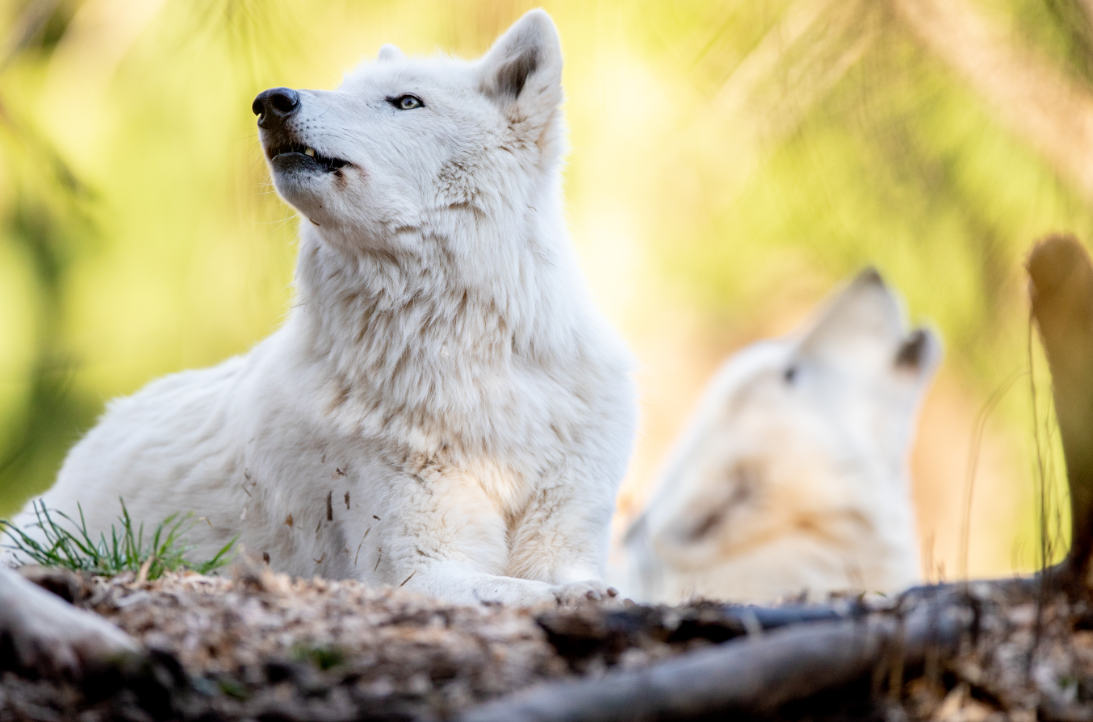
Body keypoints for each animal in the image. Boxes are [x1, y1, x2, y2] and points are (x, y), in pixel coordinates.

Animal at [5, 10, 637, 606]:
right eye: (342, 88)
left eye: (407, 101)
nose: (270, 101)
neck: (468, 362)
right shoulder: (414, 569)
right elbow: (523, 590)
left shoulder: (566, 535)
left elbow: (577, 578)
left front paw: (592, 595)